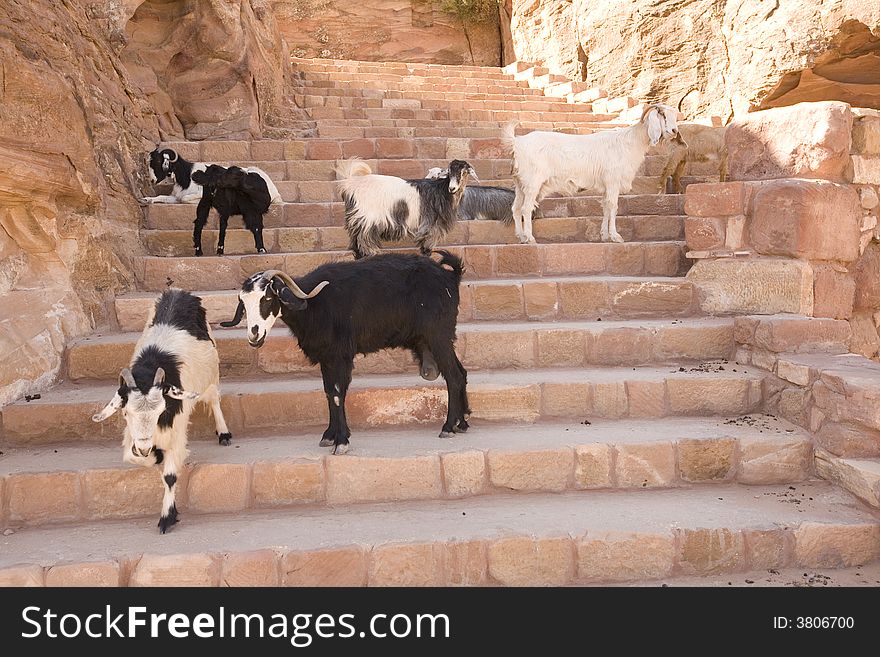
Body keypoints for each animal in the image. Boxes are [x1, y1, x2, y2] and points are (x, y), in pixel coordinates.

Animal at [90, 290, 230, 532]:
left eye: (160, 411)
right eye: (126, 413)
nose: (146, 448)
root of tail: (179, 292)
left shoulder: (176, 429)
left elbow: (170, 476)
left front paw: (167, 517)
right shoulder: (133, 436)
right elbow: (132, 456)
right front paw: (155, 456)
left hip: (210, 376)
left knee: (213, 399)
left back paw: (223, 433)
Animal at [140, 147, 278, 206]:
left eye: (158, 161)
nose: (152, 180)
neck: (186, 175)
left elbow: (185, 199)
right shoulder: (176, 196)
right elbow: (162, 197)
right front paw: (146, 199)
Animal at [219, 249, 470, 454]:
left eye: (268, 297)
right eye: (243, 302)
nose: (254, 334)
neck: (314, 305)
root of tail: (450, 277)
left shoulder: (340, 355)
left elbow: (338, 393)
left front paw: (341, 441)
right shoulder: (326, 357)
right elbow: (329, 392)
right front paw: (329, 435)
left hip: (438, 335)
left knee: (453, 376)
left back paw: (448, 426)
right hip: (442, 337)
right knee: (461, 372)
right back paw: (463, 421)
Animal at [336, 158, 478, 258]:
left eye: (463, 172)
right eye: (449, 172)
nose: (452, 188)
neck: (441, 190)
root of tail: (350, 185)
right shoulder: (430, 225)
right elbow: (427, 248)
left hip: (357, 220)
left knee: (355, 244)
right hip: (367, 219)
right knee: (364, 242)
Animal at [502, 104, 680, 242]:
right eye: (663, 115)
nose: (674, 131)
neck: (630, 142)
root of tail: (517, 142)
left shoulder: (606, 186)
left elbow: (606, 207)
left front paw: (605, 235)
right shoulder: (613, 181)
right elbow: (613, 206)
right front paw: (616, 236)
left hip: (520, 184)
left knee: (515, 208)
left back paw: (521, 237)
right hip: (532, 182)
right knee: (526, 208)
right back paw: (530, 238)